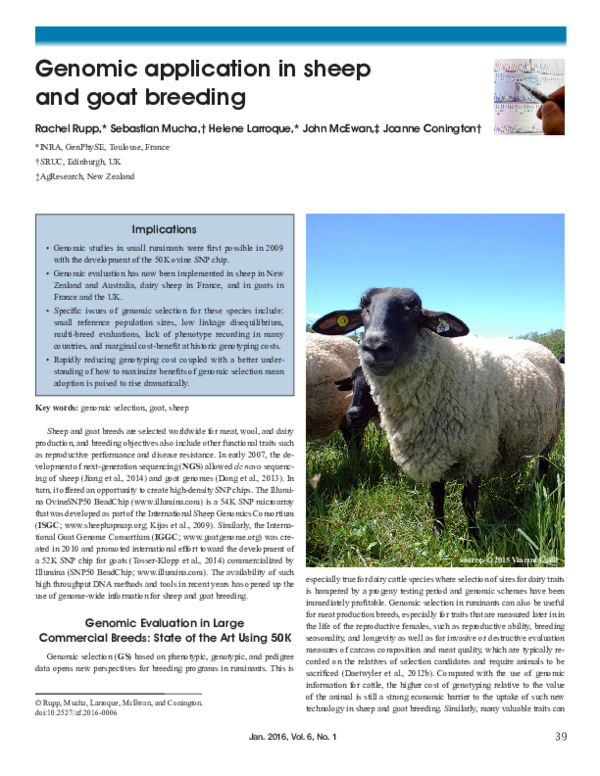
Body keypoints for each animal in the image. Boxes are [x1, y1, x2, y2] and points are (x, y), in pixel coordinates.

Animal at [313, 287, 564, 535]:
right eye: (364, 306)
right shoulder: (432, 449)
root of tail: (537, 345)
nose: (375, 347)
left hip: (551, 430)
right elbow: (437, 495)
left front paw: (474, 537)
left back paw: (540, 489)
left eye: (414, 308)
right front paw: (438, 532)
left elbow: (469, 501)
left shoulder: (478, 452)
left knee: (543, 462)